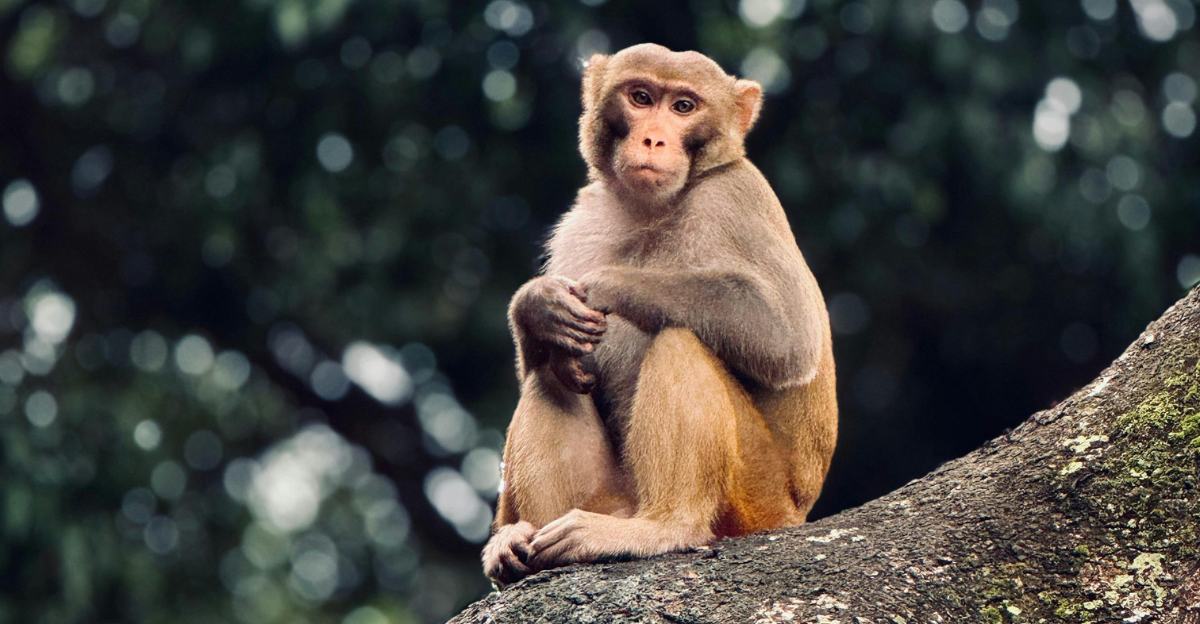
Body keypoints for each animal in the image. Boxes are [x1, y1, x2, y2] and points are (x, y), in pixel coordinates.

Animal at [481, 43, 838, 586]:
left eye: (683, 107)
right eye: (641, 97)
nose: (653, 137)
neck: (653, 207)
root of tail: (798, 514)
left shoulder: (737, 196)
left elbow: (785, 338)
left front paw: (608, 285)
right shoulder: (582, 219)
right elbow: (545, 355)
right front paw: (538, 308)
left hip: (755, 501)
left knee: (679, 338)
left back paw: (666, 527)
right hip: (614, 497)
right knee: (552, 373)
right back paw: (522, 543)